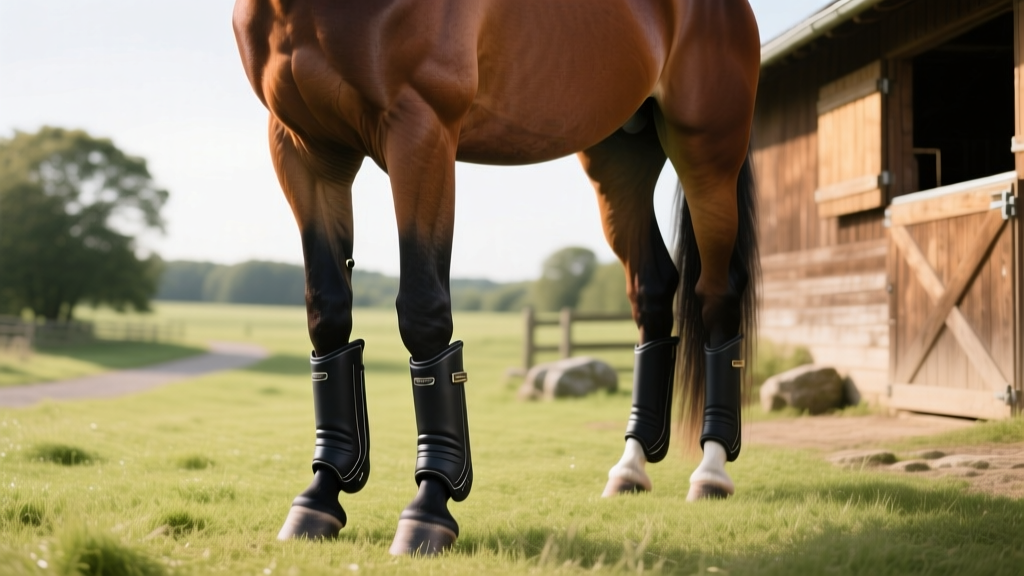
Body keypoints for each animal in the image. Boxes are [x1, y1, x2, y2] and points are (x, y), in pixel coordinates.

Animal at [233, 0, 760, 556]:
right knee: (653, 290)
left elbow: (423, 314)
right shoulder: (304, 146)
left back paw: (711, 471)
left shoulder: (421, 130)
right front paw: (319, 497)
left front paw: (428, 509)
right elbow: (327, 316)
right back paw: (630, 468)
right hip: (620, 159)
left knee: (717, 296)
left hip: (707, 153)